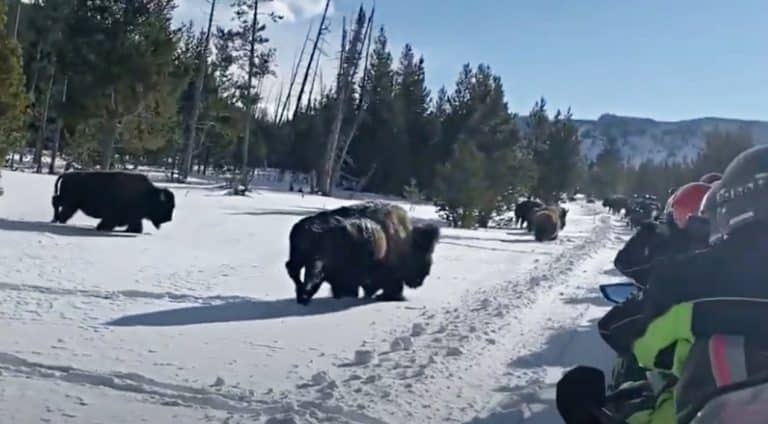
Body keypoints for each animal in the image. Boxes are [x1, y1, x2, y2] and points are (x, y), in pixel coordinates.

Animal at [286, 201, 440, 305]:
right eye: (426, 253)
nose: (421, 279)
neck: (406, 240)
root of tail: (304, 227)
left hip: (297, 259)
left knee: (293, 270)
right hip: (313, 262)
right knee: (311, 276)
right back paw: (304, 298)